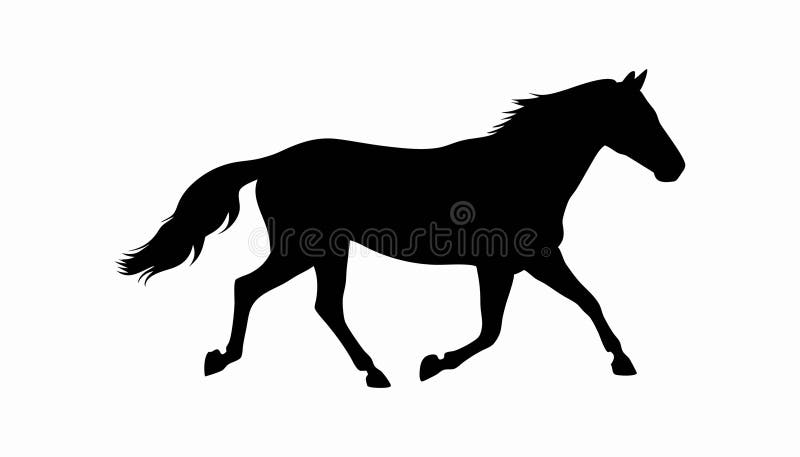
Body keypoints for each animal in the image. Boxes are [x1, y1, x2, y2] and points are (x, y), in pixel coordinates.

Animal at [120, 70, 685, 387]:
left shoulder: (525, 263)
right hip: (305, 249)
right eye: (640, 117)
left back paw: (369, 371)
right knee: (254, 288)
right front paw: (433, 363)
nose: (675, 168)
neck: (520, 171)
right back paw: (230, 359)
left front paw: (622, 360)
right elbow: (499, 329)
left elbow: (577, 303)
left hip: (320, 252)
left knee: (314, 304)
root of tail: (275, 160)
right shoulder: (509, 263)